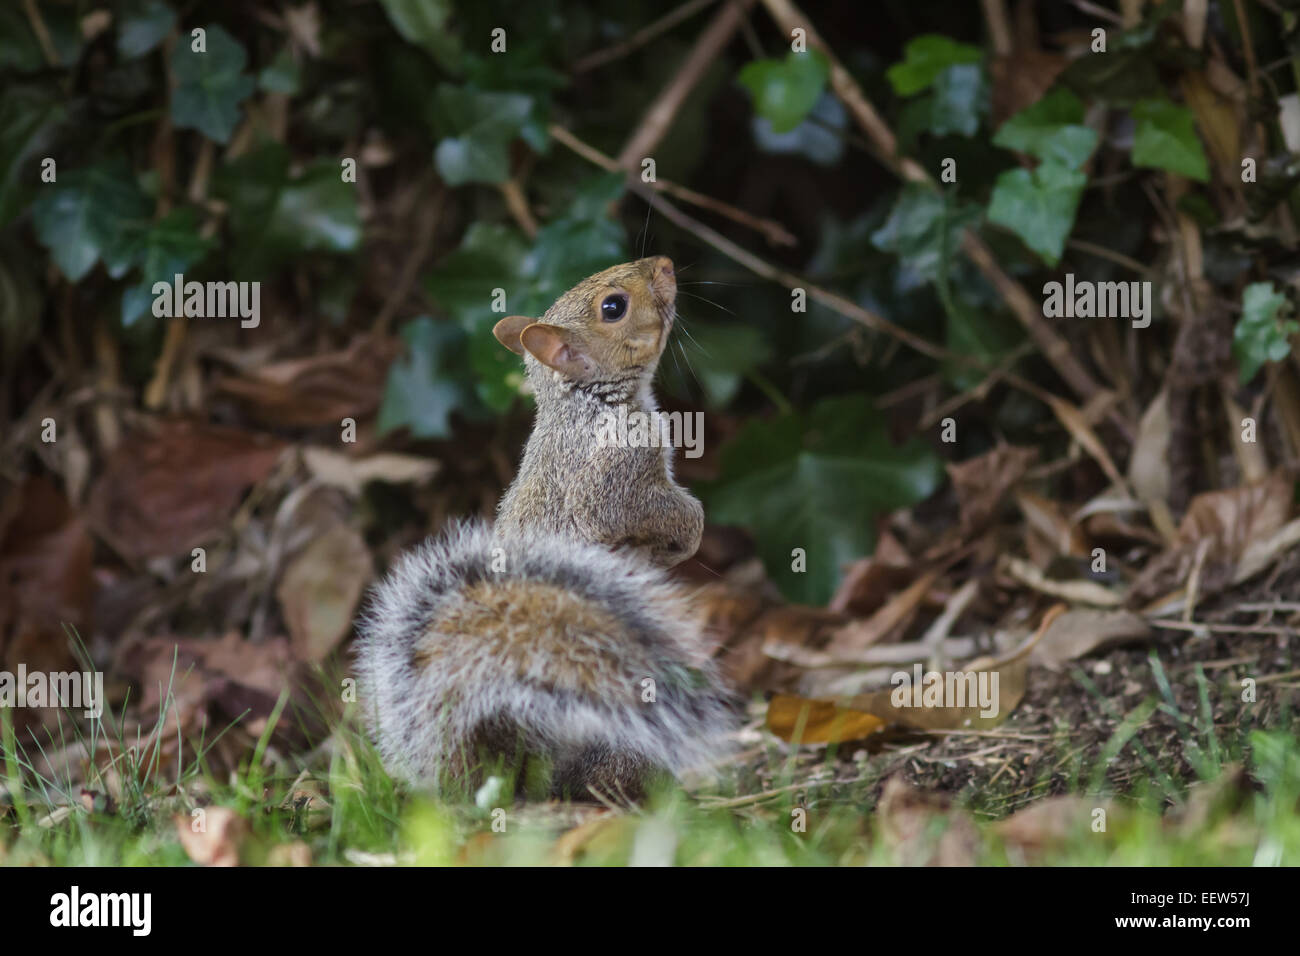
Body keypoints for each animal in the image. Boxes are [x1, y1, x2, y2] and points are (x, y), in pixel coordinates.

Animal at [355, 257, 735, 801]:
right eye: (613, 307)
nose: (663, 263)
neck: (586, 401)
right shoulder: (613, 468)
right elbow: (621, 512)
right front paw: (689, 530)